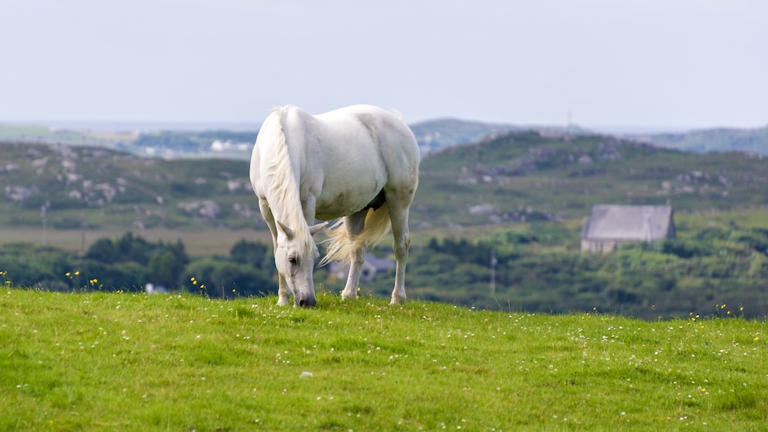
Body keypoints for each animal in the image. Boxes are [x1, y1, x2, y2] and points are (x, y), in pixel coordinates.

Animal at [249, 104, 420, 307]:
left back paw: (397, 299)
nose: (307, 301)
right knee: (357, 250)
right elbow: (277, 247)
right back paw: (349, 295)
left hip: (398, 202)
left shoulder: (307, 202)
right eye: (292, 259)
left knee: (401, 246)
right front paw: (282, 299)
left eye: (314, 257)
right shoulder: (265, 207)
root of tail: (400, 123)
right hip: (358, 210)